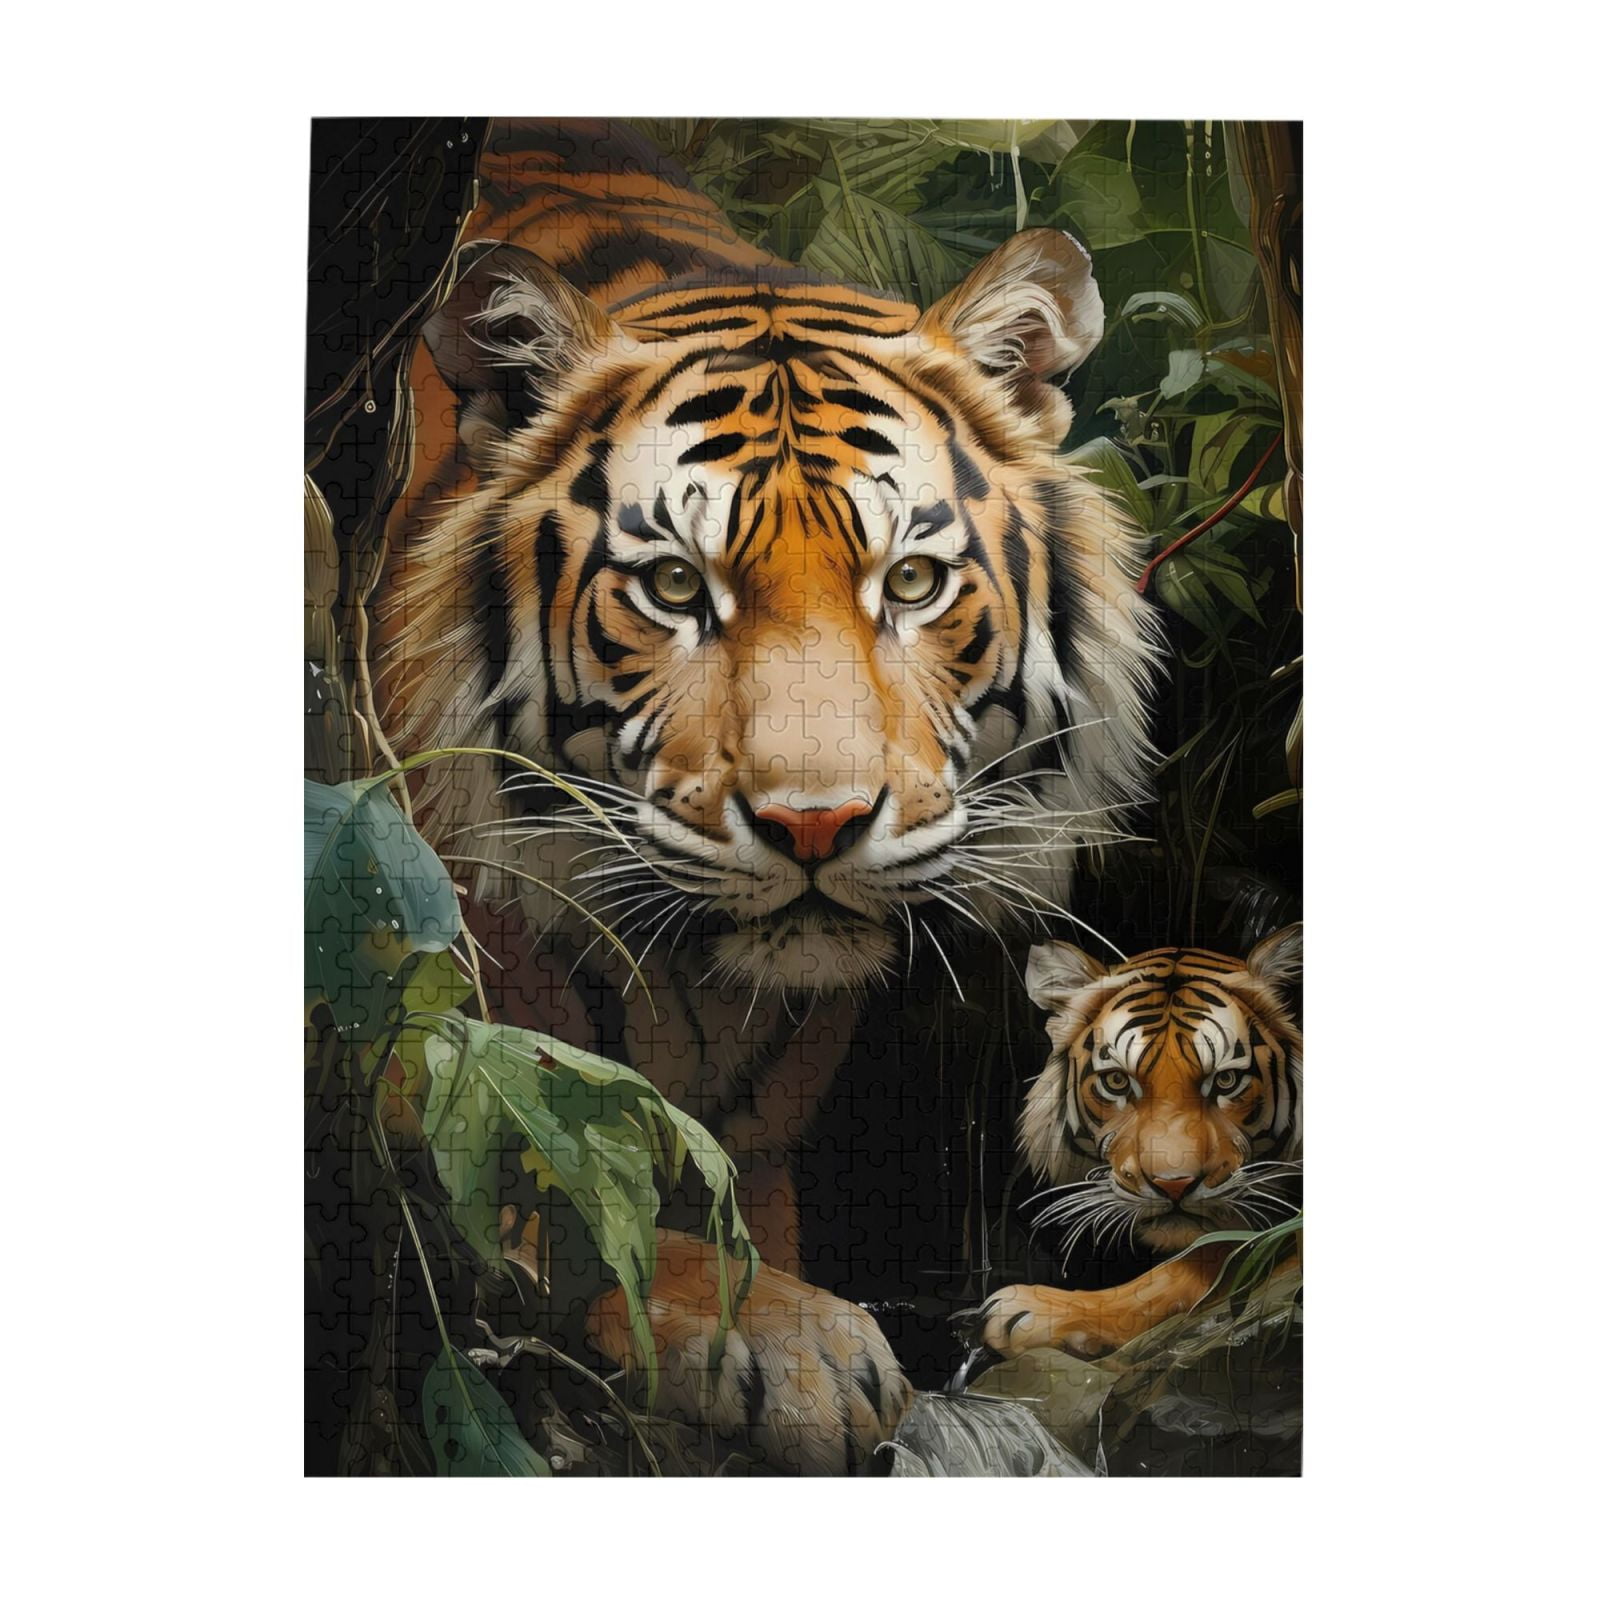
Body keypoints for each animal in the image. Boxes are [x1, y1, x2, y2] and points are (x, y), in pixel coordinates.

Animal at [374, 119, 1161, 1473]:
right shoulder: (410, 1026)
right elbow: (559, 1176)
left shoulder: (771, 1132)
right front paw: (790, 1346)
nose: (814, 825)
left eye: (911, 581)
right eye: (675, 586)